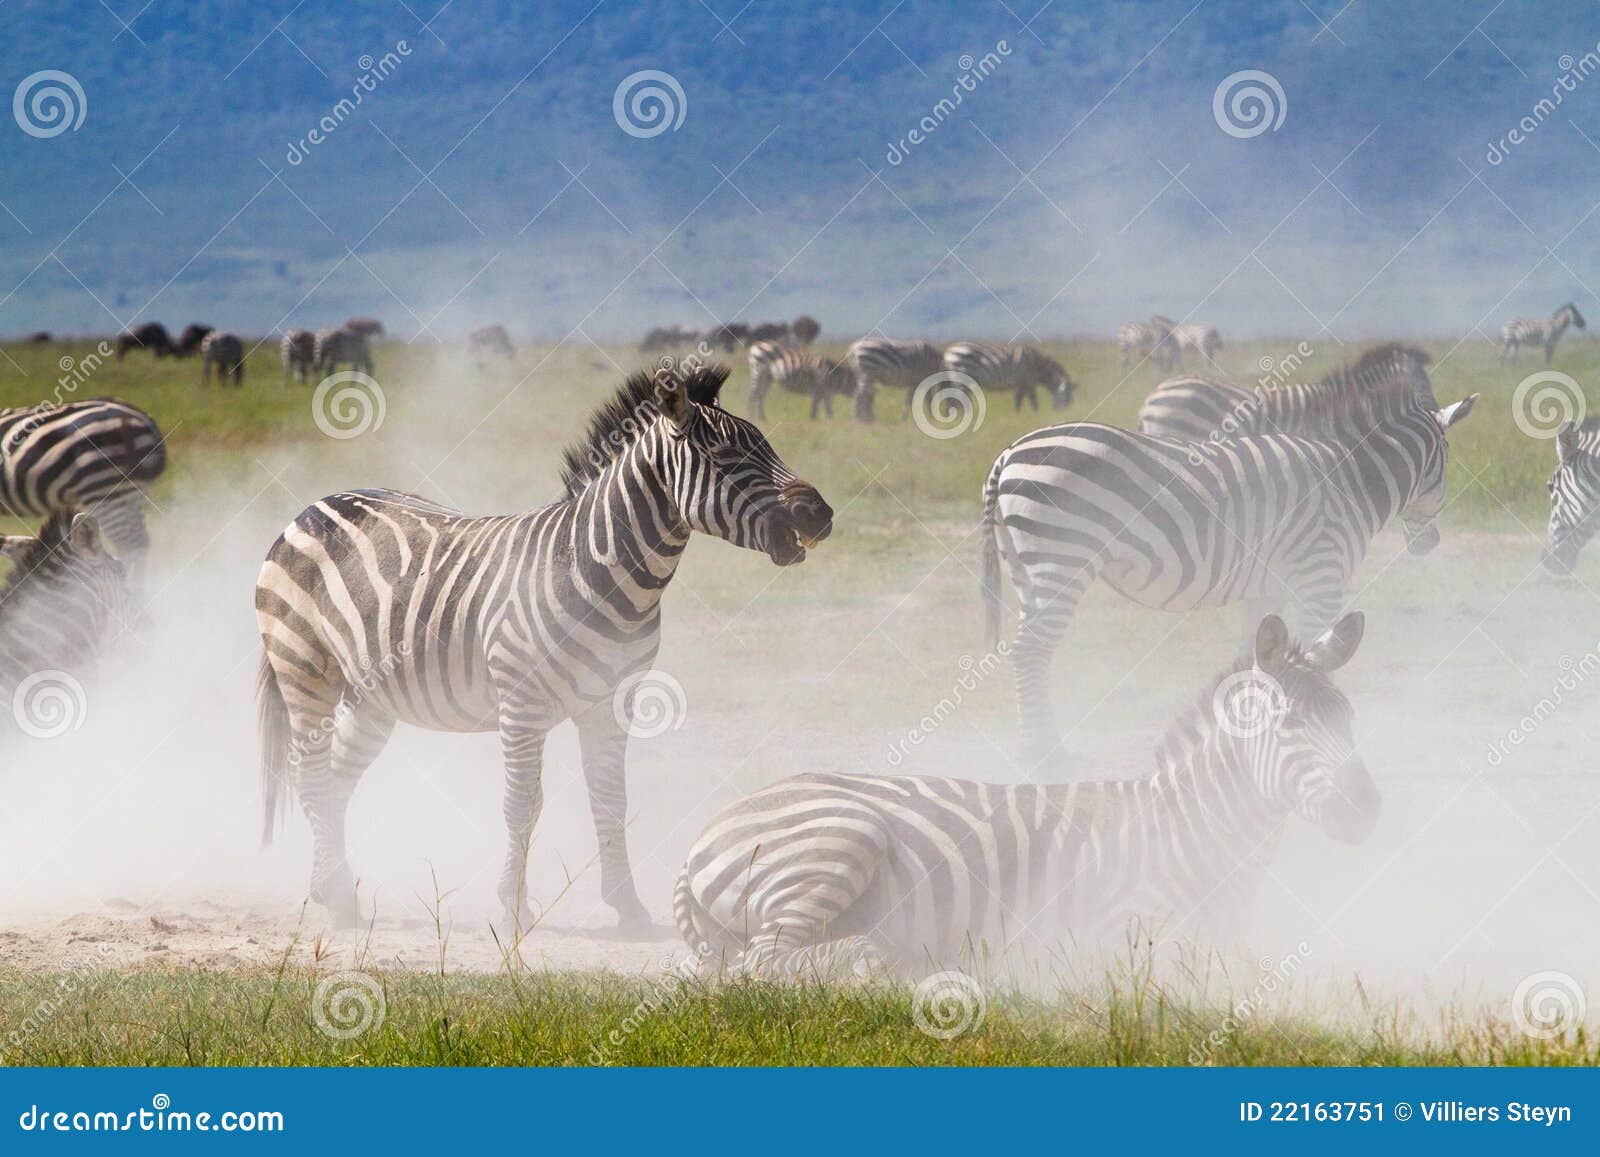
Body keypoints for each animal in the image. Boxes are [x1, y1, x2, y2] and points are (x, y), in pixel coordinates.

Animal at [256, 364, 834, 932]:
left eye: (767, 445)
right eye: (726, 456)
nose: (820, 515)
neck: (602, 570)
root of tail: (318, 502)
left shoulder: (612, 702)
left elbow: (611, 800)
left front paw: (628, 906)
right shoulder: (521, 703)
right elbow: (522, 805)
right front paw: (513, 907)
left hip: (372, 695)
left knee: (336, 781)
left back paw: (333, 892)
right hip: (304, 666)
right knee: (312, 776)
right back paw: (335, 896)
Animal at [676, 612, 1375, 975]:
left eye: (1349, 718)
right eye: (1290, 725)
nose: (1364, 810)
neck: (1194, 828)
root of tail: (707, 829)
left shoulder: (1234, 937)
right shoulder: (1121, 927)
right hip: (841, 841)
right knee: (770, 971)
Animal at [942, 342, 1074, 412]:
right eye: (1067, 396)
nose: (1062, 411)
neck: (1037, 365)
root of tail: (949, 351)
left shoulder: (1021, 382)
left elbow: (1018, 399)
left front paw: (1019, 415)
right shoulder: (1028, 379)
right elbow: (1032, 400)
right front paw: (1035, 414)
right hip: (962, 375)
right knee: (957, 399)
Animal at [979, 361, 1477, 758]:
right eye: (1448, 459)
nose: (1429, 543)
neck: (1350, 480)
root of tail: (1007, 452)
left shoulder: (1268, 584)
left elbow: (1255, 655)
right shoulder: (1320, 573)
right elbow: (1319, 655)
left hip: (1026, 565)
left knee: (1026, 652)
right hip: (1060, 557)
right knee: (1031, 652)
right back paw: (1045, 753)